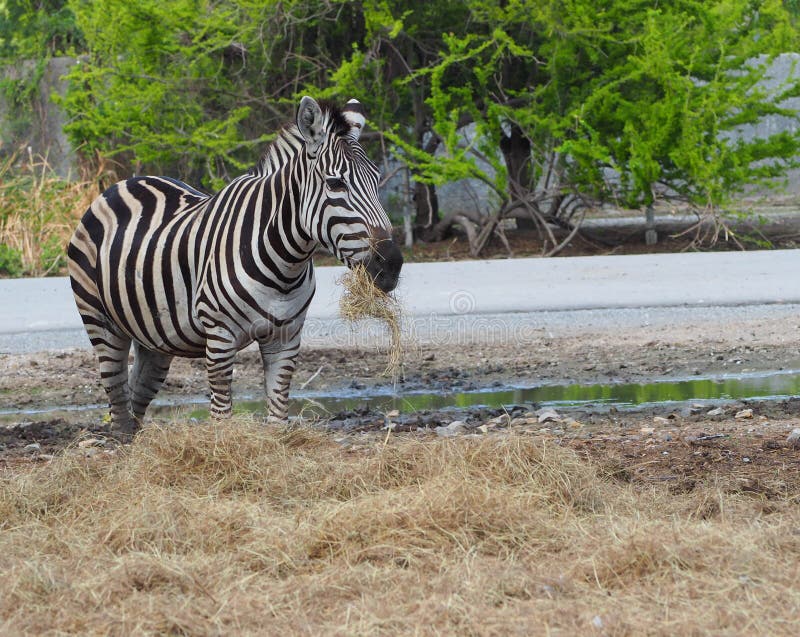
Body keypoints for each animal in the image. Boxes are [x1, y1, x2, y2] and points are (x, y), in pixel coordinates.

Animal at [67, 96, 403, 436]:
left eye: (377, 180)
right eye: (335, 184)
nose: (391, 264)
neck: (285, 265)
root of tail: (121, 184)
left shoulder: (286, 338)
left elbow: (278, 414)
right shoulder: (219, 337)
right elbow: (221, 414)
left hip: (155, 336)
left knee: (136, 398)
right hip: (101, 321)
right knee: (119, 406)